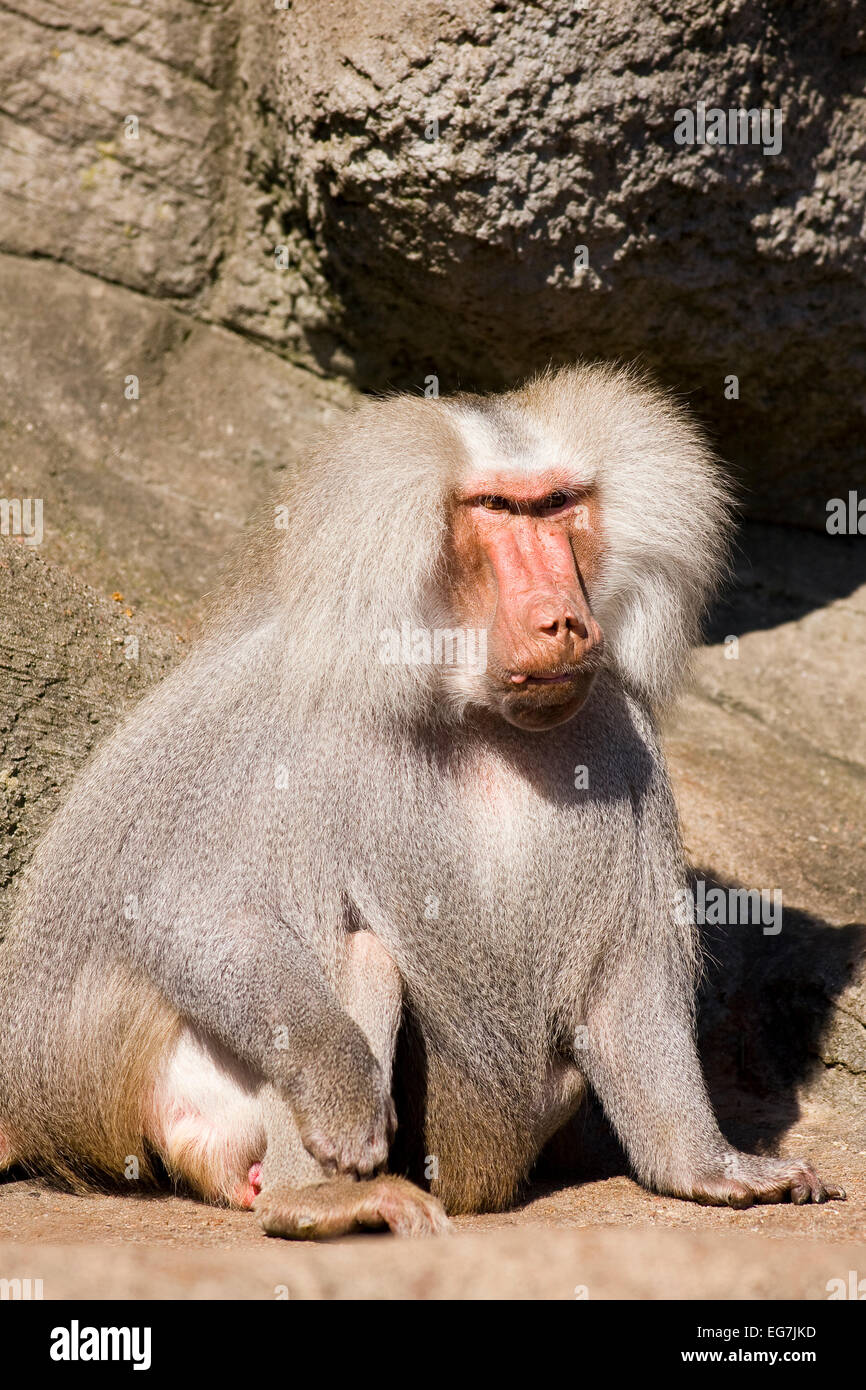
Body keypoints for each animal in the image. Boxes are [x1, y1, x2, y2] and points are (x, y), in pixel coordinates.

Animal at [0, 363, 844, 1237]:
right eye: (495, 509)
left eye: (559, 505)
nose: (562, 620)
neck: (468, 703)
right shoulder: (286, 722)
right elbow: (194, 915)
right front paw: (342, 1101)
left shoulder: (620, 730)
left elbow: (628, 976)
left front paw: (713, 1171)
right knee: (351, 949)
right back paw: (321, 1200)